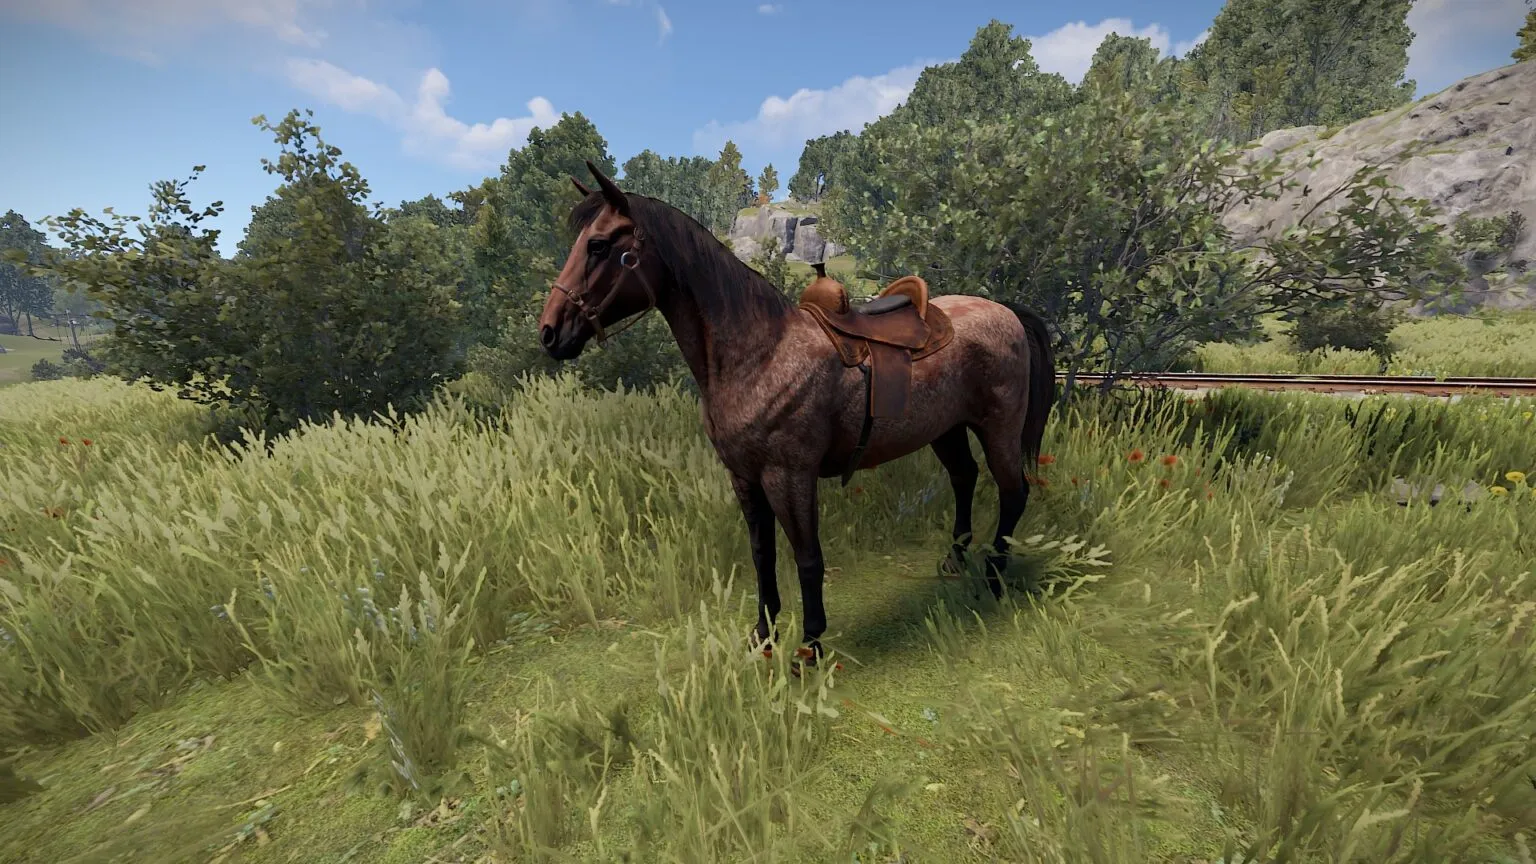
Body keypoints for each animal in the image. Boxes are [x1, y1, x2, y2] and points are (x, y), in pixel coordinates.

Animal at [538, 161, 1056, 666]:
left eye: (599, 245)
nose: (550, 332)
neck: (760, 353)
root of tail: (1006, 311)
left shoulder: (789, 476)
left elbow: (808, 557)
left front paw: (810, 645)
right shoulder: (745, 478)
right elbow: (762, 554)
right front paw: (761, 635)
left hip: (998, 428)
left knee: (1012, 492)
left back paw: (993, 579)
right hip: (945, 430)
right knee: (964, 478)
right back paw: (954, 561)